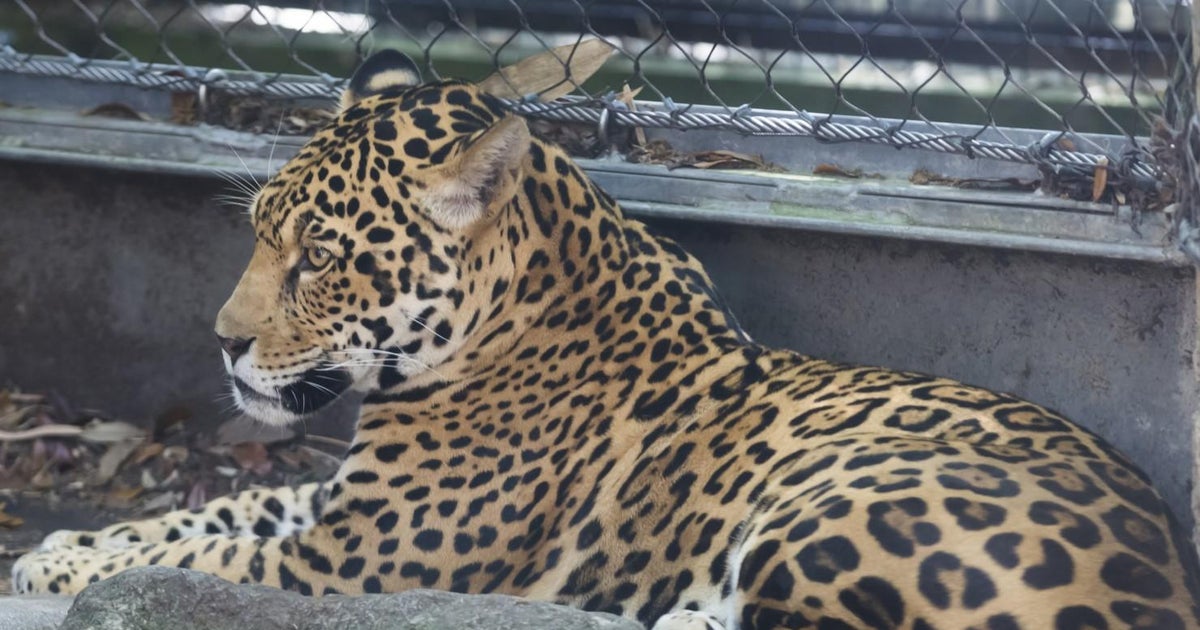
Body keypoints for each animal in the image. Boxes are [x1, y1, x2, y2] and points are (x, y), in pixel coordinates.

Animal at [15, 49, 1200, 630]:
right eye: (262, 234)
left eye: (318, 258)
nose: (221, 344)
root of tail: (1161, 587)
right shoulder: (338, 509)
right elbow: (210, 511)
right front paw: (61, 551)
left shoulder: (349, 560)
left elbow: (204, 549)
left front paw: (70, 566)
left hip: (837, 507)